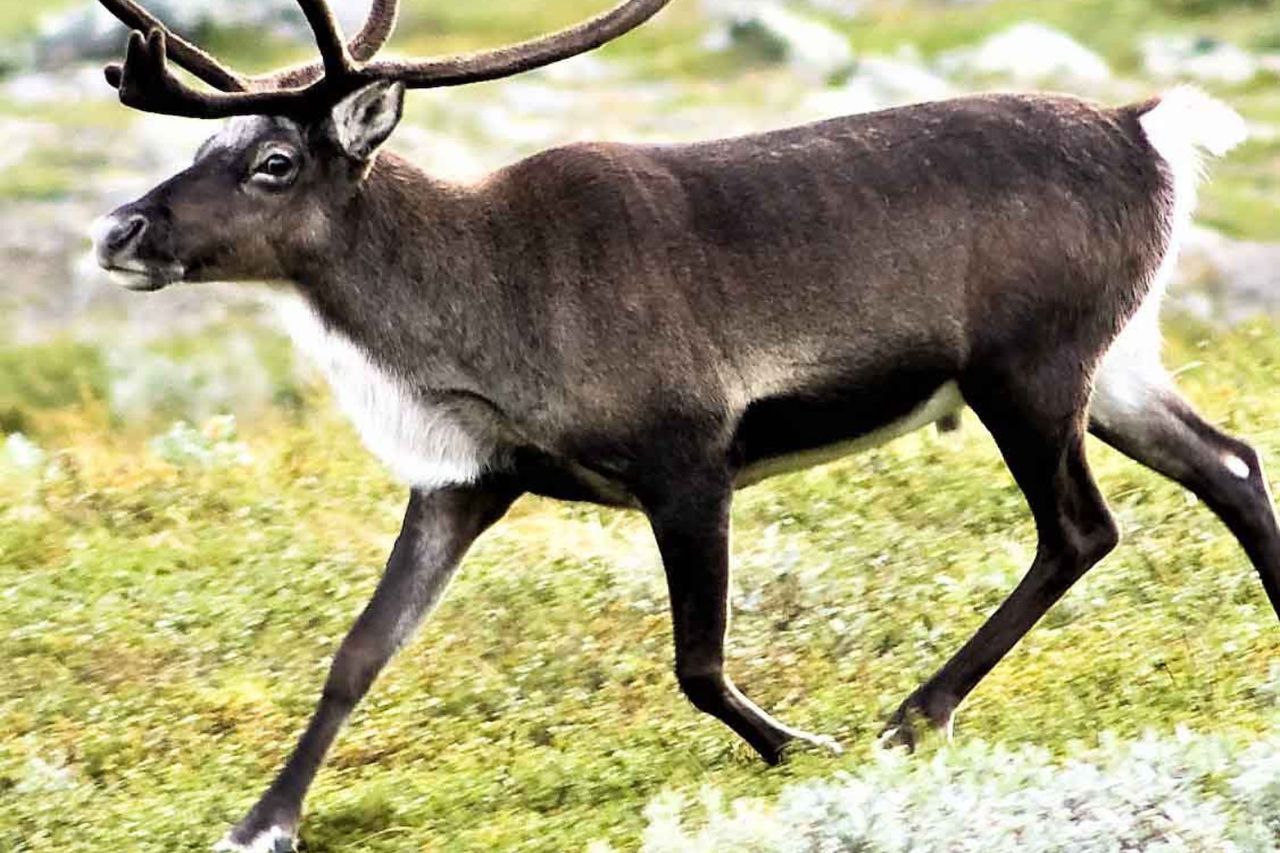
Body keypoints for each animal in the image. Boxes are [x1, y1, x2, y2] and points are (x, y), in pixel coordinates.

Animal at [86, 0, 1277, 850]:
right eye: (213, 148)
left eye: (272, 163)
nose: (118, 229)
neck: (471, 309)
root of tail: (1145, 130)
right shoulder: (467, 480)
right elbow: (358, 650)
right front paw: (261, 822)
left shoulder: (690, 457)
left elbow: (696, 663)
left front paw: (803, 746)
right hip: (1114, 364)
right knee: (1231, 460)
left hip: (1026, 371)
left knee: (1081, 528)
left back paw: (913, 713)